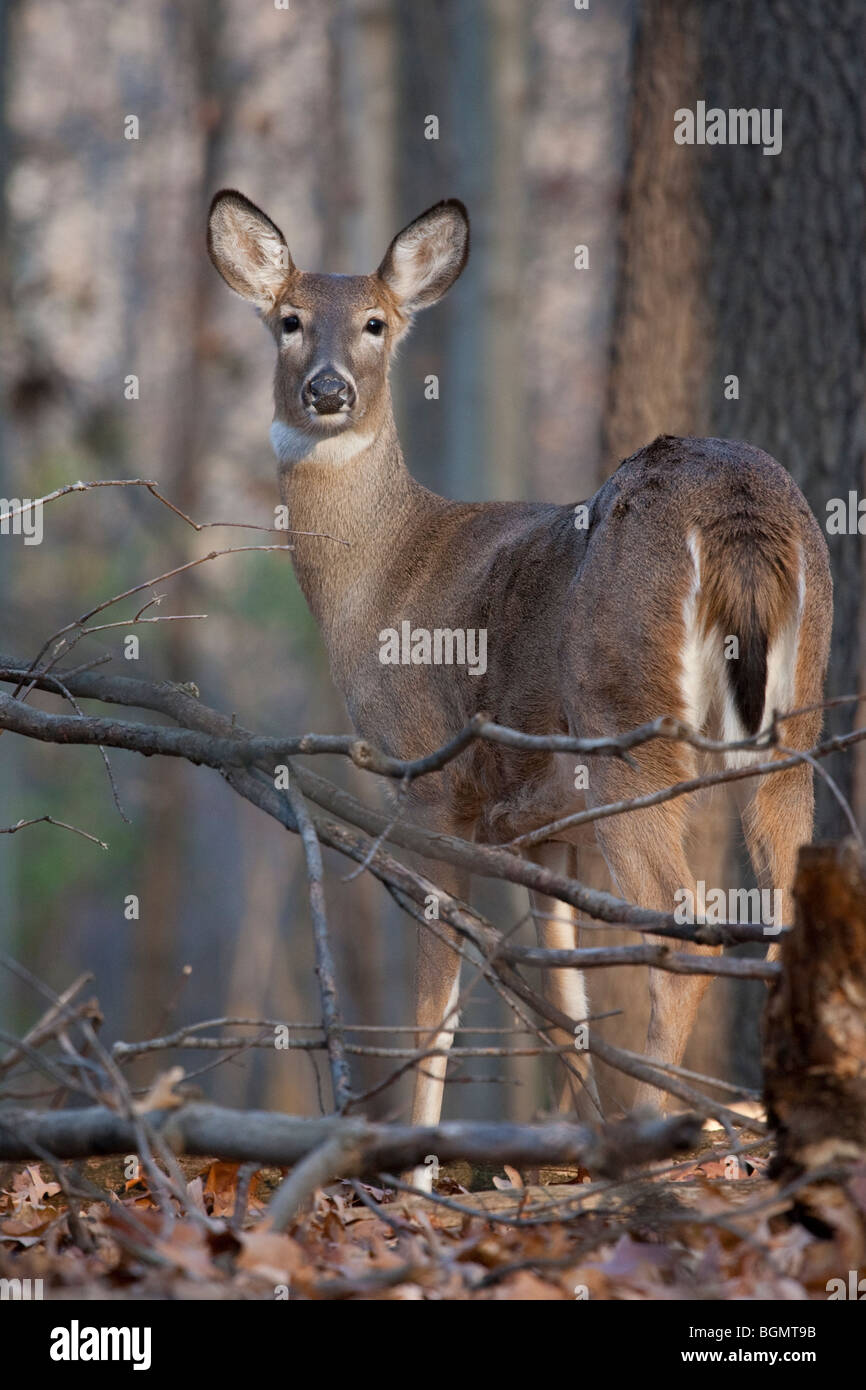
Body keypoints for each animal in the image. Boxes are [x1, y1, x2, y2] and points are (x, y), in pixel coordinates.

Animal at [207, 190, 833, 1184]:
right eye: (289, 319)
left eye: (377, 323)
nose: (329, 391)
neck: (382, 578)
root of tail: (736, 507)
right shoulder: (540, 829)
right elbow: (561, 992)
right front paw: (558, 1142)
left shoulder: (430, 778)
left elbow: (440, 993)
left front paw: (419, 1168)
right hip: (796, 721)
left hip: (628, 728)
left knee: (682, 919)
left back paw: (660, 1134)